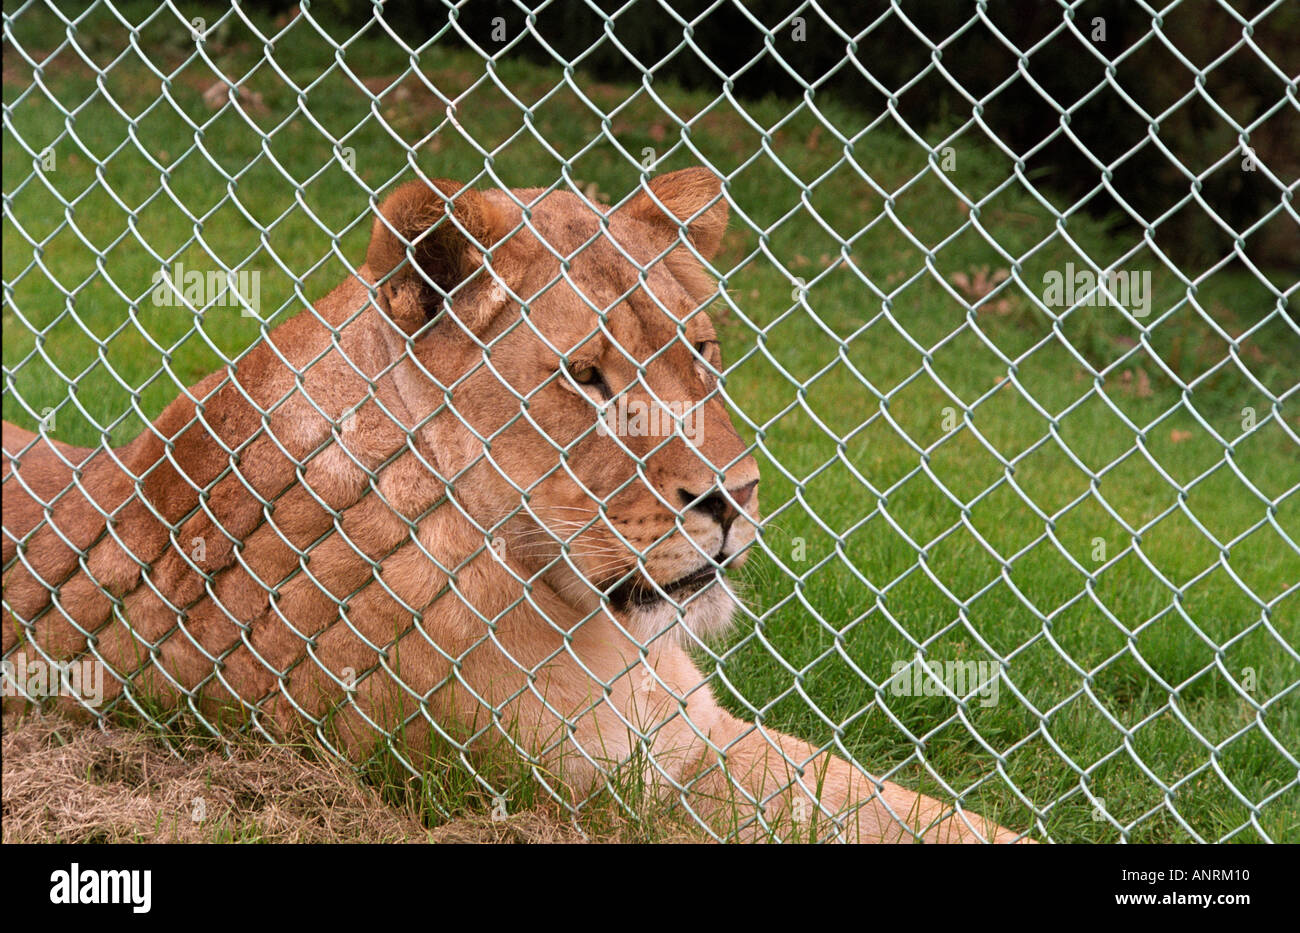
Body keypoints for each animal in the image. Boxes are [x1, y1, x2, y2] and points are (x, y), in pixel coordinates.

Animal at [2, 168, 1028, 842]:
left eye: (702, 350)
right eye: (586, 377)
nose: (735, 498)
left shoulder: (692, 732)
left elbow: (905, 805)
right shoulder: (608, 784)